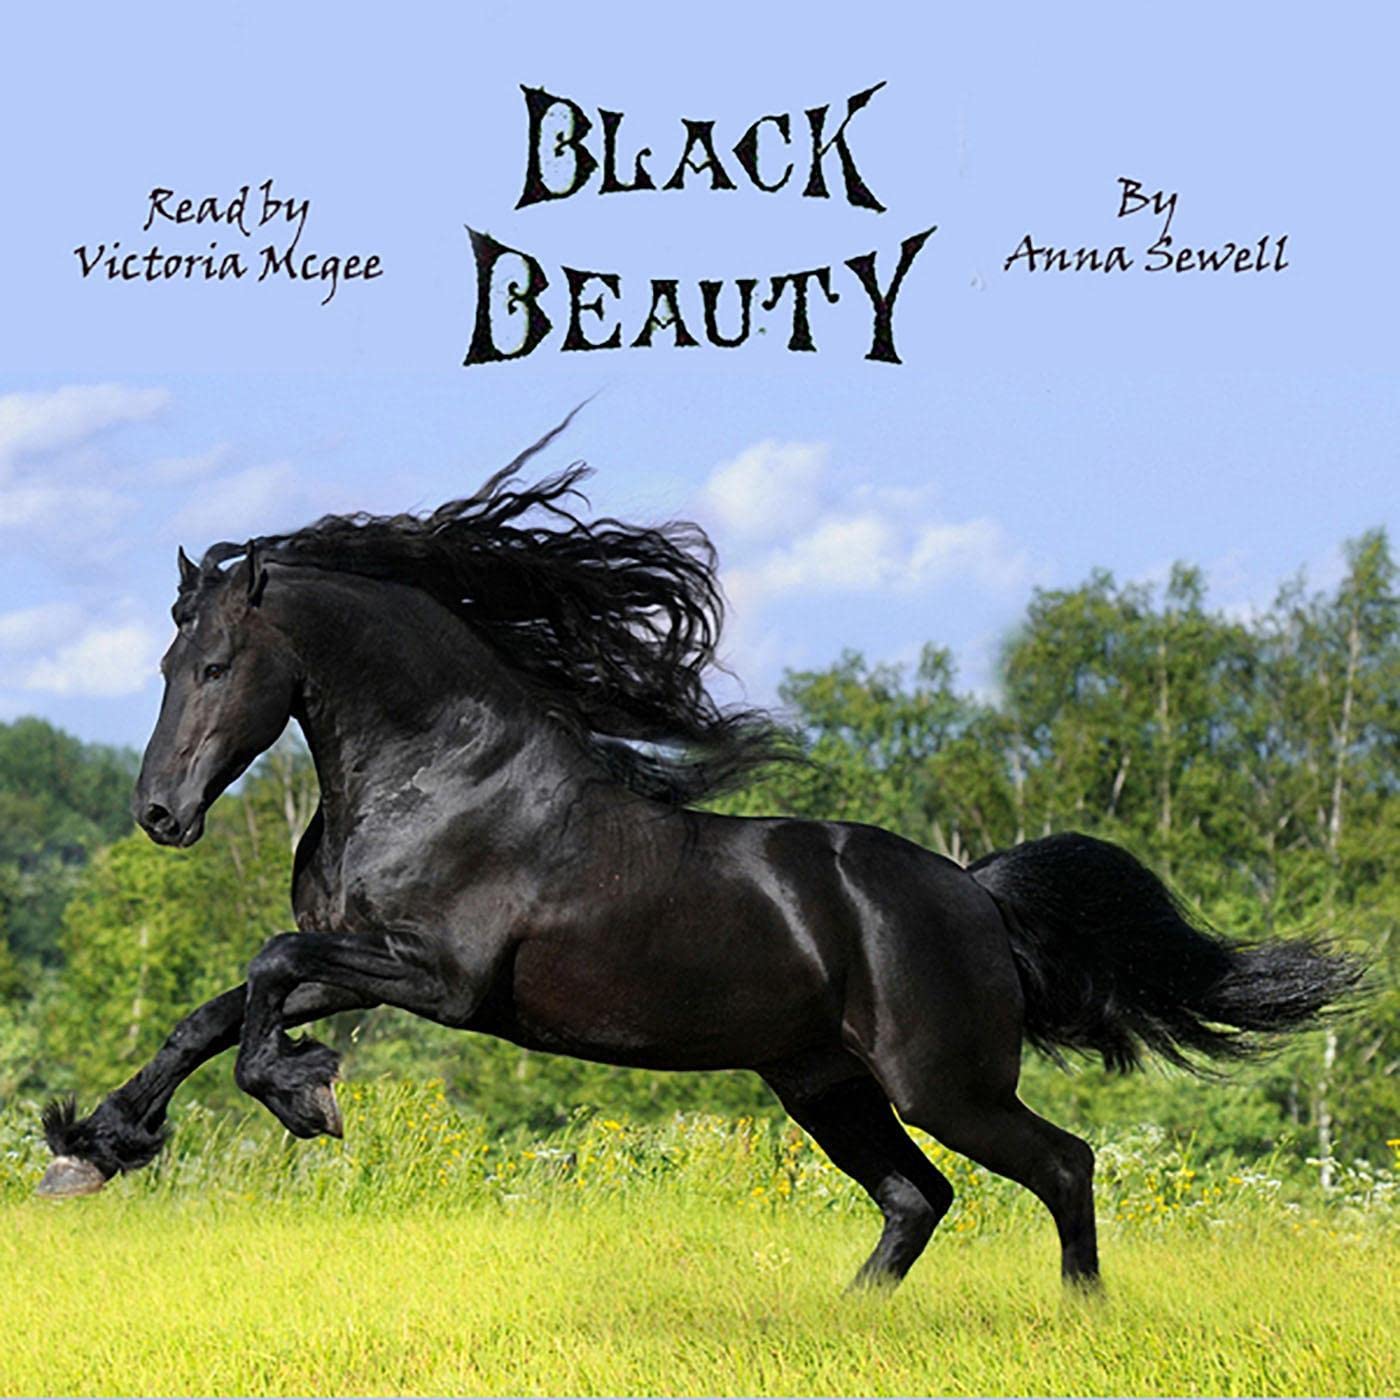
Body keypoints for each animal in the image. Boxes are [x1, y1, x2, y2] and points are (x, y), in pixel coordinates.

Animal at [38, 425, 1361, 1291]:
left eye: (216, 664)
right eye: (164, 663)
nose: (160, 813)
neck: (441, 775)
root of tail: (974, 893)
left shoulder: (441, 979)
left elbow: (261, 968)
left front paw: (303, 1094)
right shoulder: (360, 955)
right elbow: (212, 1011)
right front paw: (93, 1148)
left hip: (943, 1082)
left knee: (1062, 1164)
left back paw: (1076, 1317)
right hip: (823, 1082)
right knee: (915, 1196)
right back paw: (845, 1324)